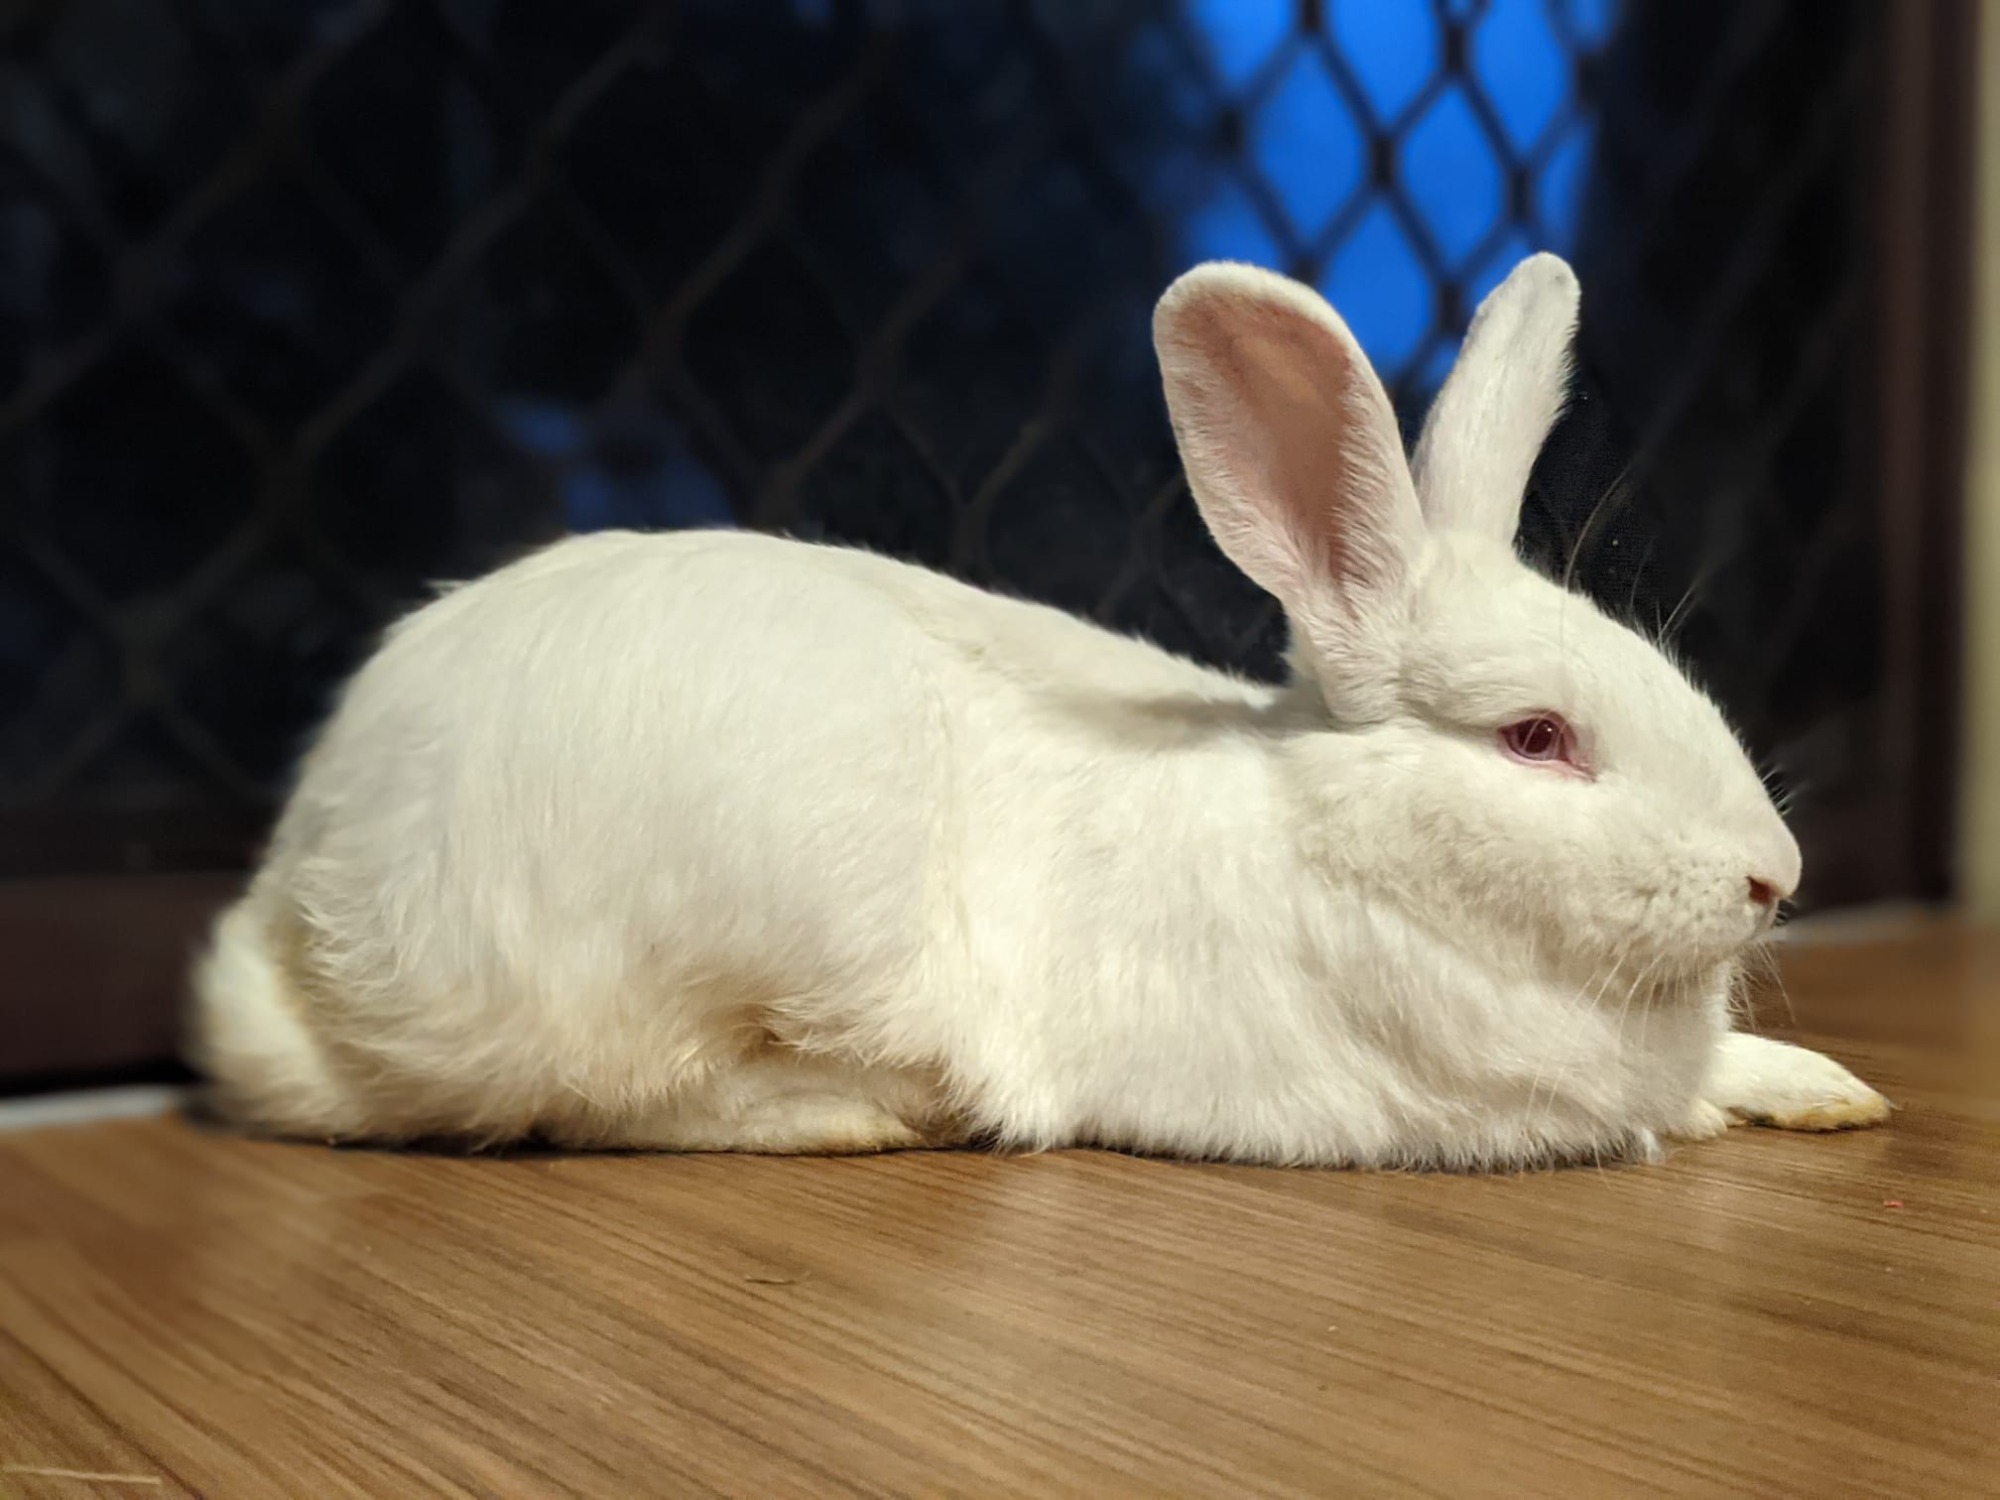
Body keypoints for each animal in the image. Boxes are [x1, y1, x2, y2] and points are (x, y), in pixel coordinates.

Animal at [190, 253, 1891, 1169]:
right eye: (1539, 739)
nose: (1777, 878)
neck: (1330, 838)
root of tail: (295, 902)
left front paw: (1831, 1091)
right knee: (597, 1106)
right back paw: (853, 1117)